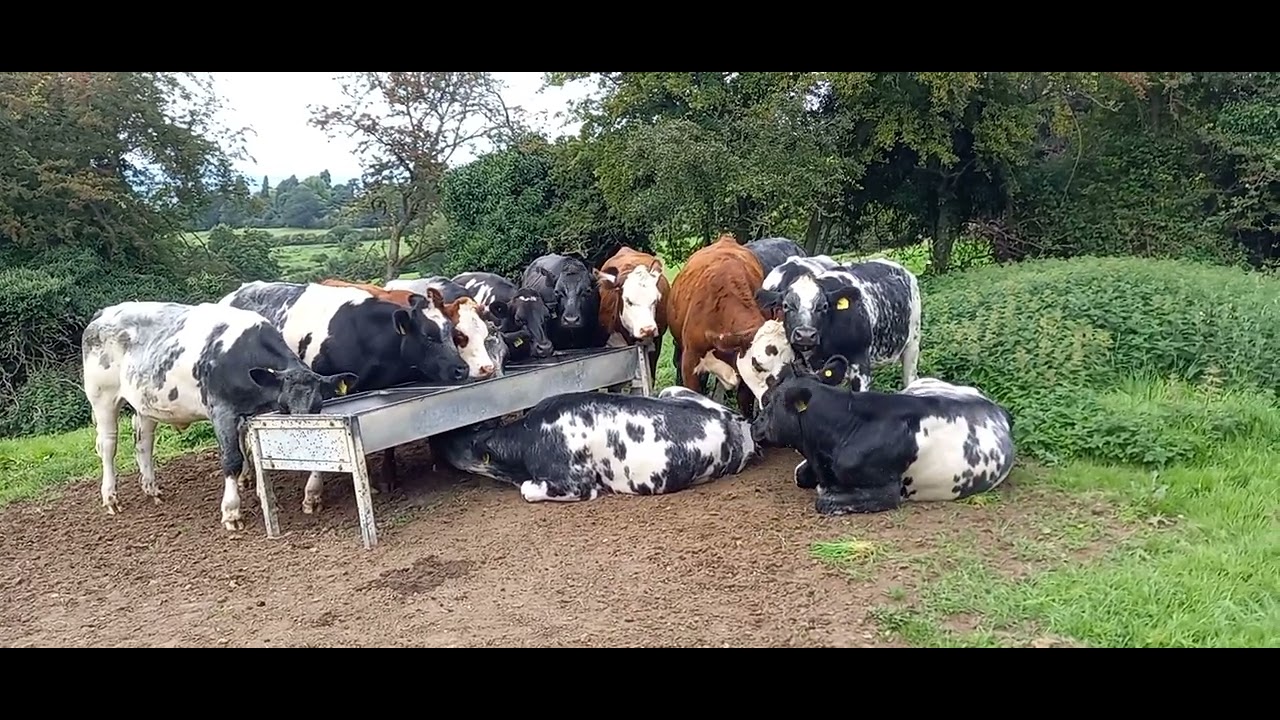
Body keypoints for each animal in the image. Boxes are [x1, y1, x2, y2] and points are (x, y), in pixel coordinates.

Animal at [81, 301, 357, 531]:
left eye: (317, 406)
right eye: (285, 407)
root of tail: (104, 312)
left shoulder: (257, 415)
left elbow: (256, 455)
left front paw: (267, 497)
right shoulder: (222, 411)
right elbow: (232, 460)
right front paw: (232, 512)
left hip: (146, 401)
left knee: (143, 442)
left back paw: (152, 489)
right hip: (102, 396)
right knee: (108, 445)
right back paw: (111, 498)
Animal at [430, 384, 757, 502]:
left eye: (469, 441)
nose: (439, 438)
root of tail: (738, 422)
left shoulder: (576, 484)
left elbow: (526, 490)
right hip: (670, 389)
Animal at [749, 359, 1015, 516]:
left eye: (770, 401)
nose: (754, 425)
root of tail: (997, 408)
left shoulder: (889, 491)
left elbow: (823, 500)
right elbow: (800, 475)